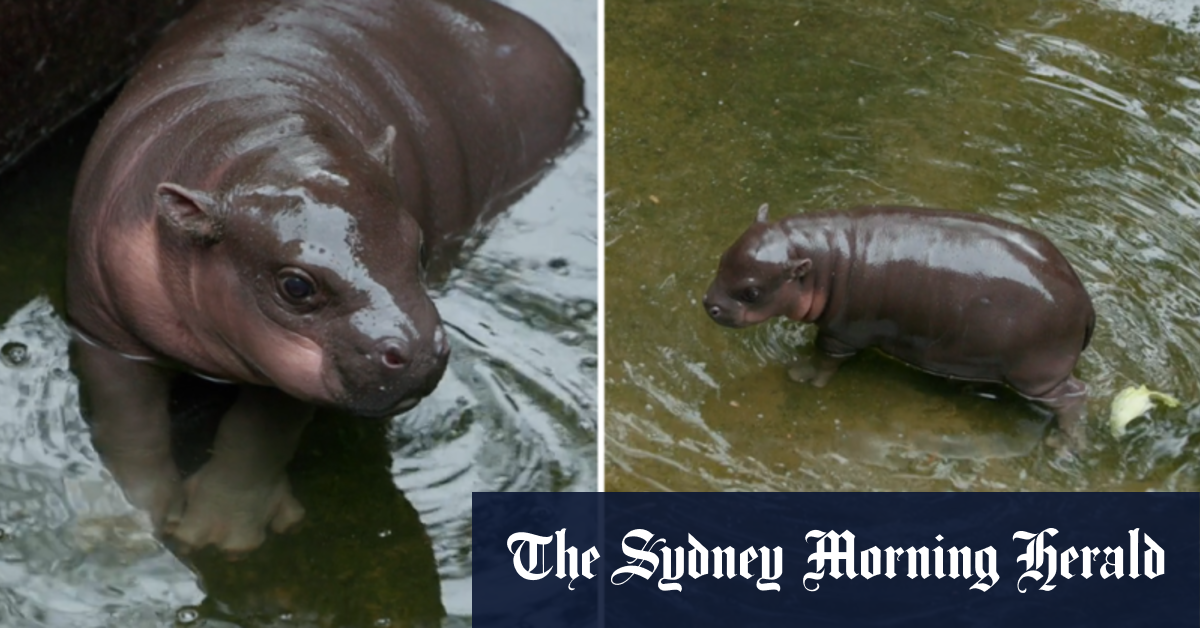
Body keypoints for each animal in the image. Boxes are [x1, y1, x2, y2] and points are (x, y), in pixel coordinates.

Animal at [66, 0, 582, 553]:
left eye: (418, 246)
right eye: (295, 286)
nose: (422, 350)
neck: (250, 142)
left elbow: (258, 434)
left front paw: (220, 532)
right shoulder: (103, 331)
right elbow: (127, 422)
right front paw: (125, 528)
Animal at [703, 205, 1095, 447]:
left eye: (752, 292)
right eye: (722, 257)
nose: (710, 304)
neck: (825, 260)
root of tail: (1085, 301)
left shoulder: (841, 333)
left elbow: (825, 360)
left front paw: (801, 375)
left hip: (1037, 374)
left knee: (1076, 395)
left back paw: (1063, 444)